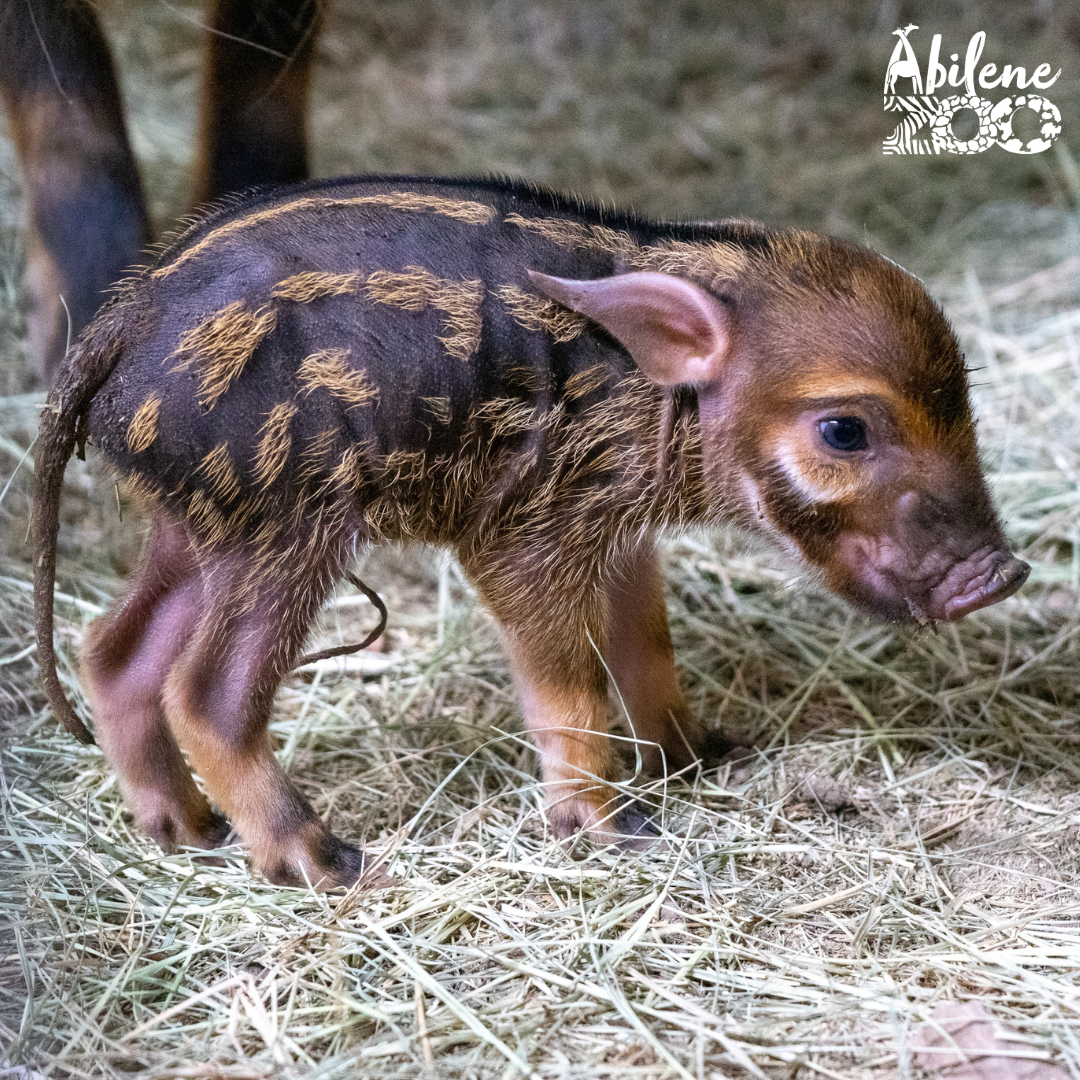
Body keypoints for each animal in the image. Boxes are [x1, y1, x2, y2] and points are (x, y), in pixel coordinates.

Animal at [33, 175, 1030, 888]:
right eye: (844, 431)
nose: (1000, 575)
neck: (647, 396)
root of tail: (113, 331)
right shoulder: (521, 537)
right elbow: (570, 683)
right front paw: (617, 830)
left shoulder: (616, 530)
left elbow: (646, 644)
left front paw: (701, 758)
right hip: (280, 524)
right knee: (205, 692)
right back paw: (330, 864)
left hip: (198, 523)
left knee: (114, 650)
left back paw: (183, 834)